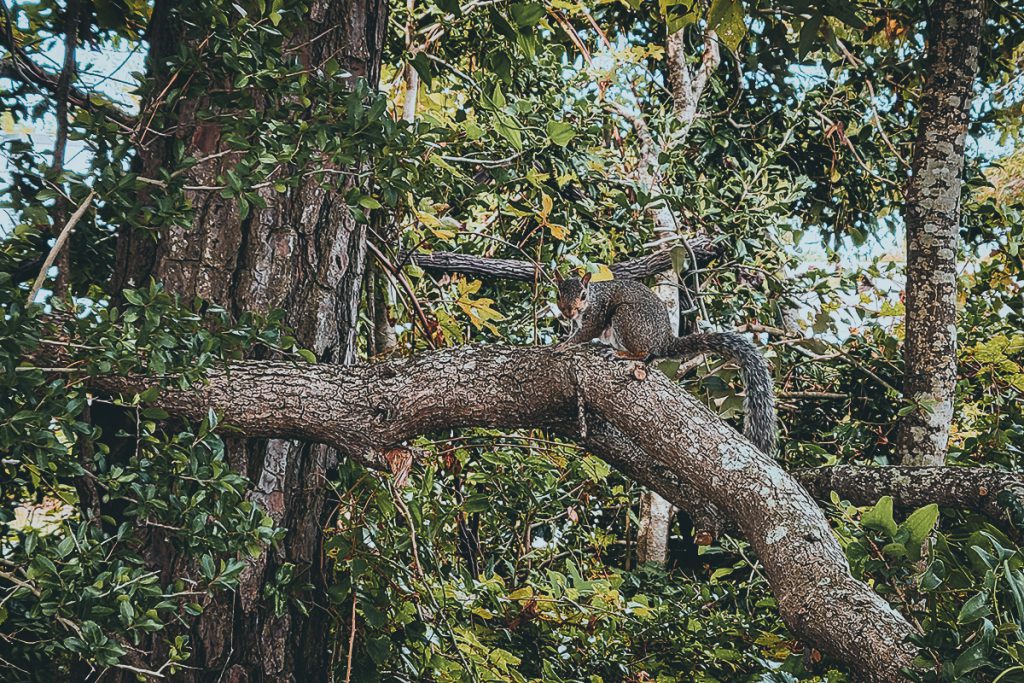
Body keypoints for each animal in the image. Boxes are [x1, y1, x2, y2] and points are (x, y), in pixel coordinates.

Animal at [555, 272, 777, 455]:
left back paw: (619, 353)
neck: (590, 301)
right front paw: (564, 338)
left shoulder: (596, 315)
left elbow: (584, 334)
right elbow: (575, 330)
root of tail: (663, 340)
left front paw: (564, 345)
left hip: (627, 317)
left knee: (643, 353)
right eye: (559, 294)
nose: (568, 312)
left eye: (583, 295)